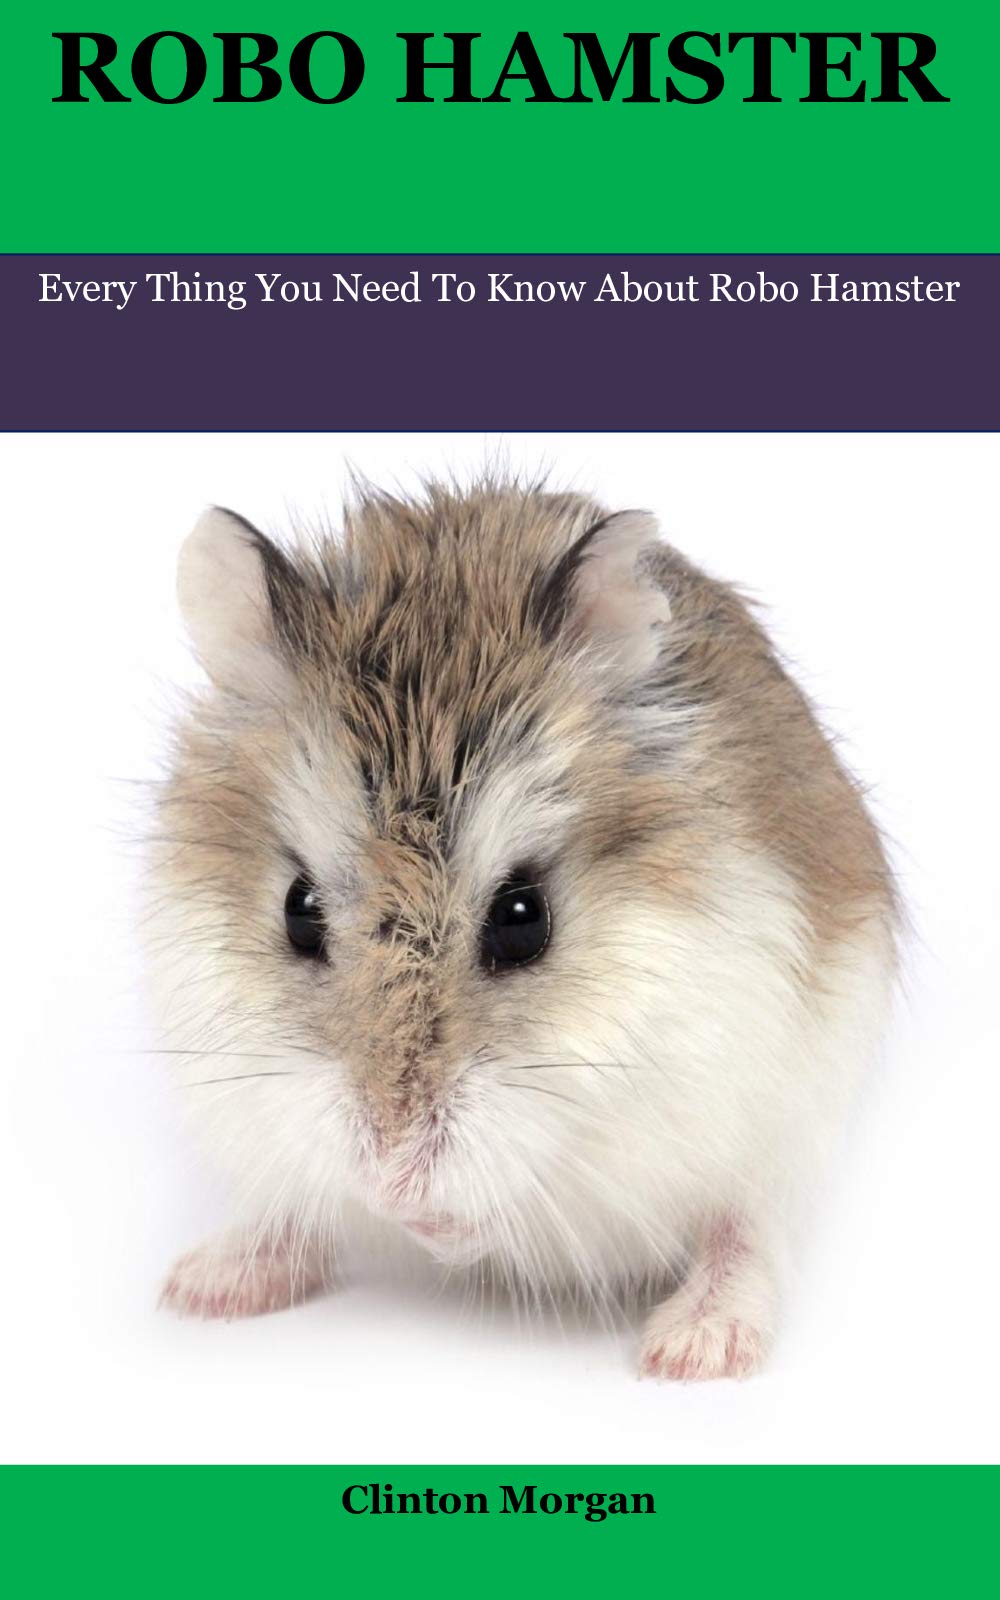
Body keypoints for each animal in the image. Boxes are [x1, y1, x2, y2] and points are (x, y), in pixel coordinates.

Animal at [149, 481, 896, 1378]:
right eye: (298, 909)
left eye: (522, 919)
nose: (391, 1177)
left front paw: (436, 1226)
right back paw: (203, 1284)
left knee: (749, 1226)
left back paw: (696, 1347)